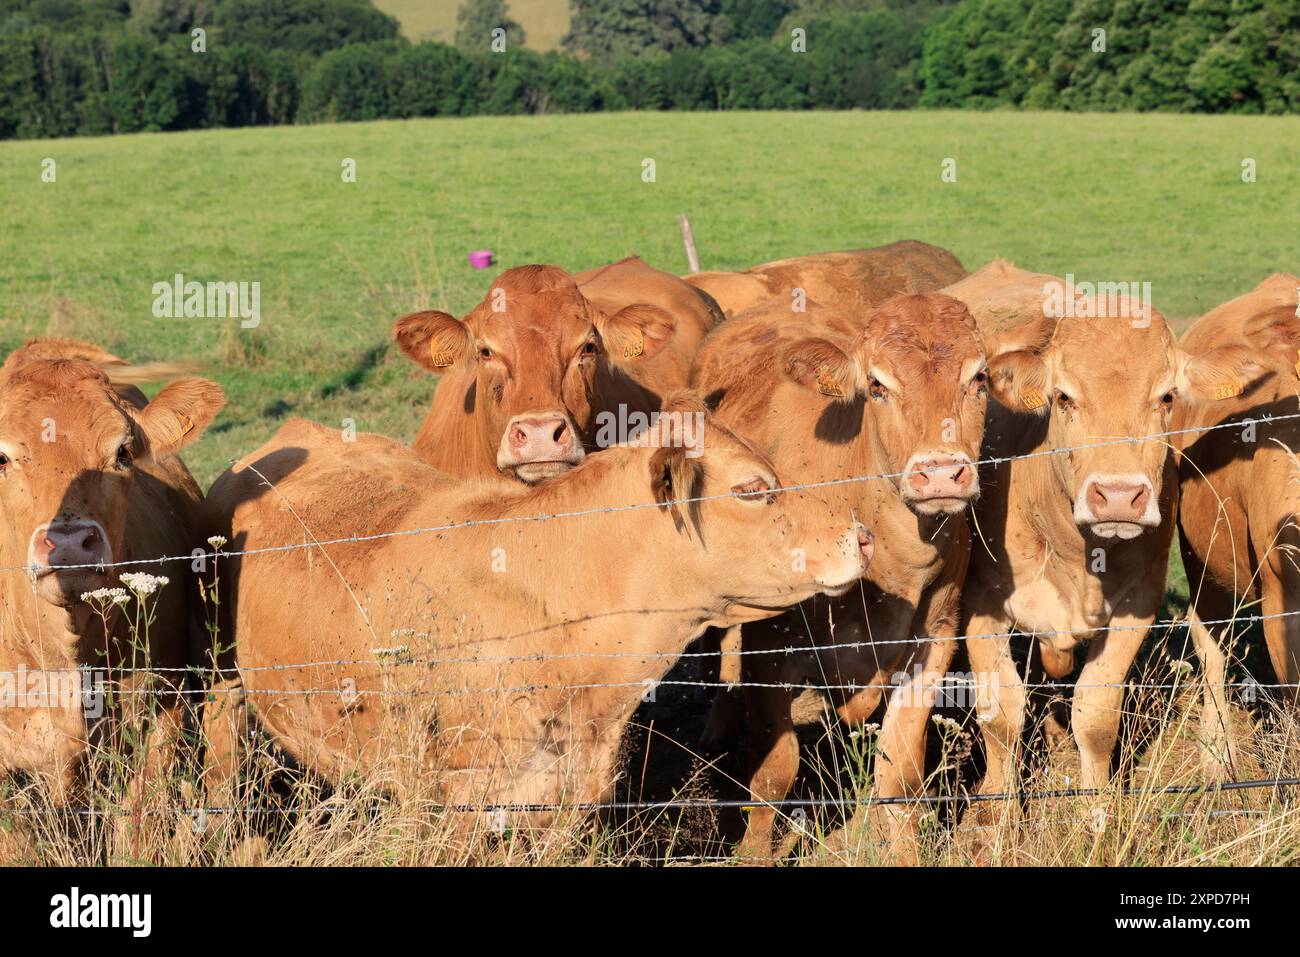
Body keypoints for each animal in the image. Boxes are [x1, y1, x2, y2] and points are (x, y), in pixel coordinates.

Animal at [691, 290, 1009, 861]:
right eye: (878, 386)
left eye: (979, 379)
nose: (941, 474)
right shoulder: (772, 647)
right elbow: (774, 772)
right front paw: (753, 855)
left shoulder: (934, 640)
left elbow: (899, 776)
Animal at [952, 259, 1265, 813]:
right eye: (1063, 397)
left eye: (1166, 397)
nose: (1118, 496)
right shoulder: (980, 604)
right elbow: (1003, 718)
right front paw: (999, 818)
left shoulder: (1136, 604)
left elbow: (1095, 716)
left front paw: (1096, 813)